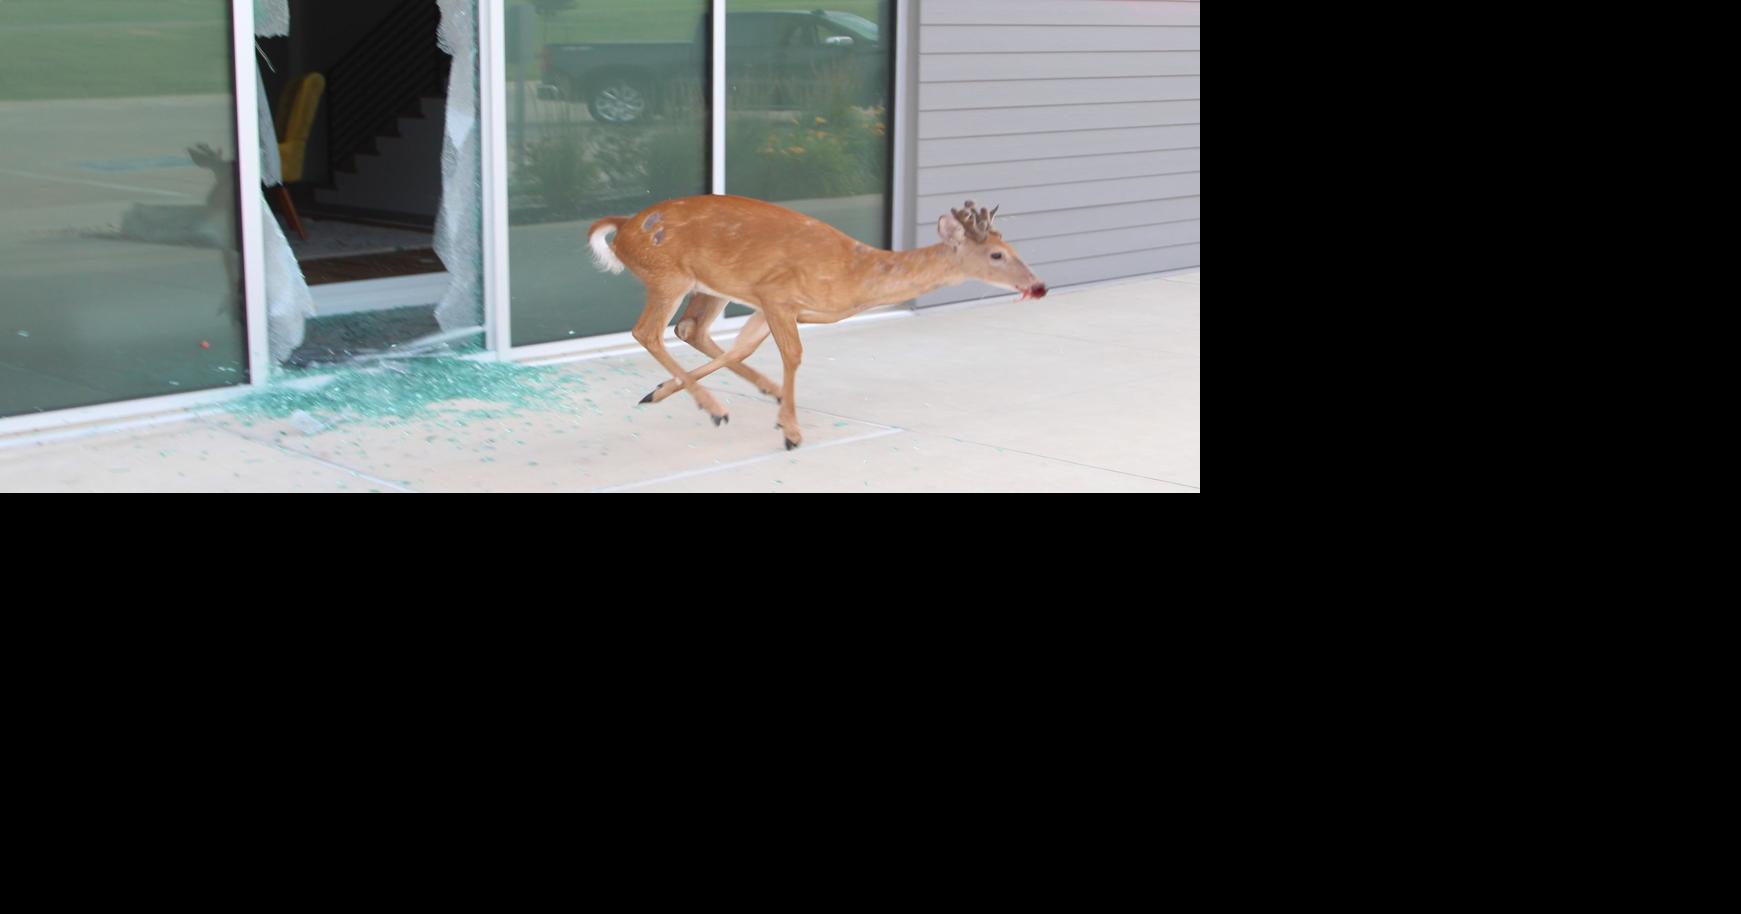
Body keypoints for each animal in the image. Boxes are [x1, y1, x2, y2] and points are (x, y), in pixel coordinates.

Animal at [588, 195, 1047, 451]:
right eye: (997, 255)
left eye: (1011, 247)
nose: (1037, 285)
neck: (853, 275)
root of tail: (624, 227)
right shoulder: (777, 294)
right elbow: (793, 355)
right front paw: (791, 432)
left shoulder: (766, 302)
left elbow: (745, 346)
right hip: (667, 276)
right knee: (648, 331)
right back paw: (715, 408)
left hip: (712, 285)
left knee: (691, 329)